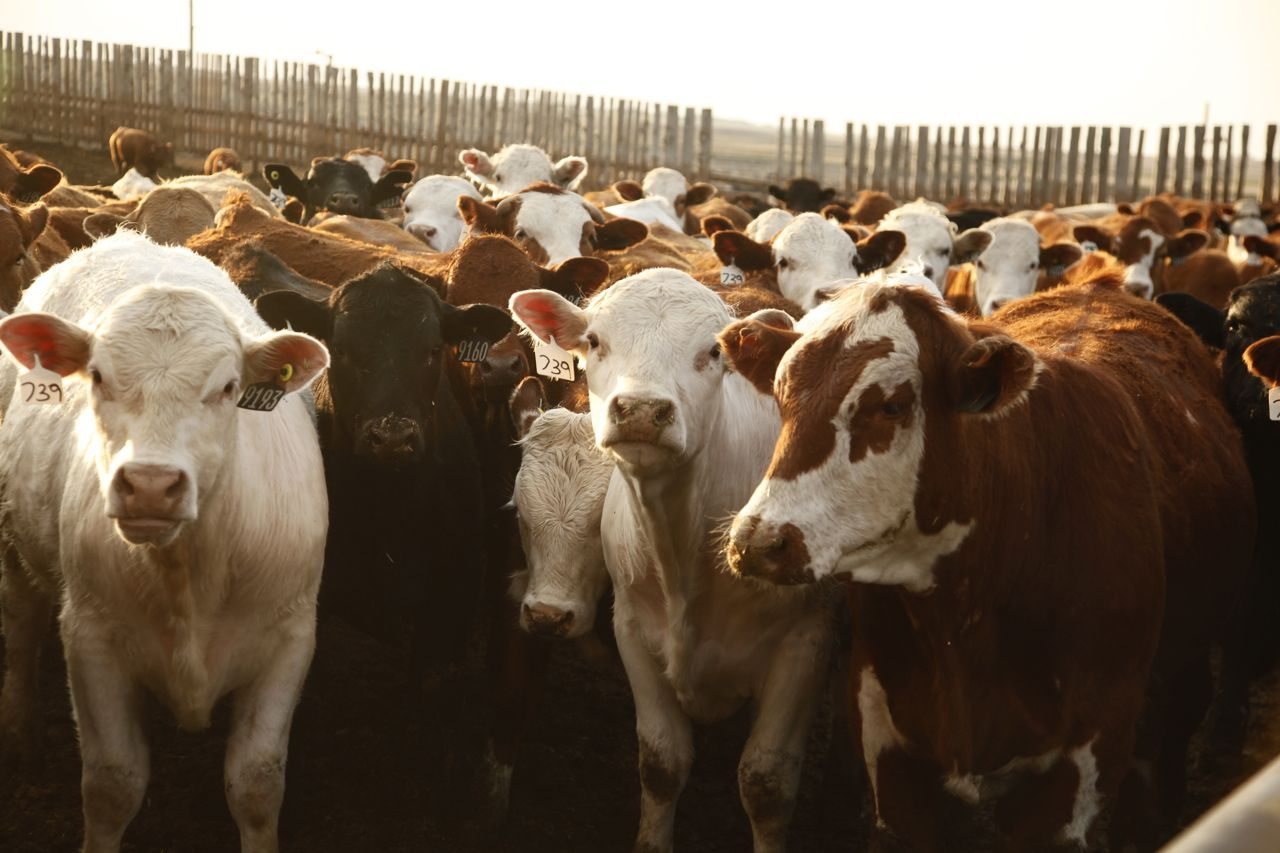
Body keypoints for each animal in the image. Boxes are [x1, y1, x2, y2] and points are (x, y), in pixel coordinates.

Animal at [0, 230, 329, 853]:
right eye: (97, 376)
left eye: (228, 387)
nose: (150, 485)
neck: (189, 570)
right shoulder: (91, 637)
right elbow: (112, 784)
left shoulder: (290, 636)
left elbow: (256, 784)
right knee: (21, 629)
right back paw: (22, 737)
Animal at [509, 270, 841, 853]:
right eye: (594, 341)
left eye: (713, 351)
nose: (642, 410)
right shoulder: (633, 629)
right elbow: (662, 764)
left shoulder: (805, 641)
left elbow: (766, 781)